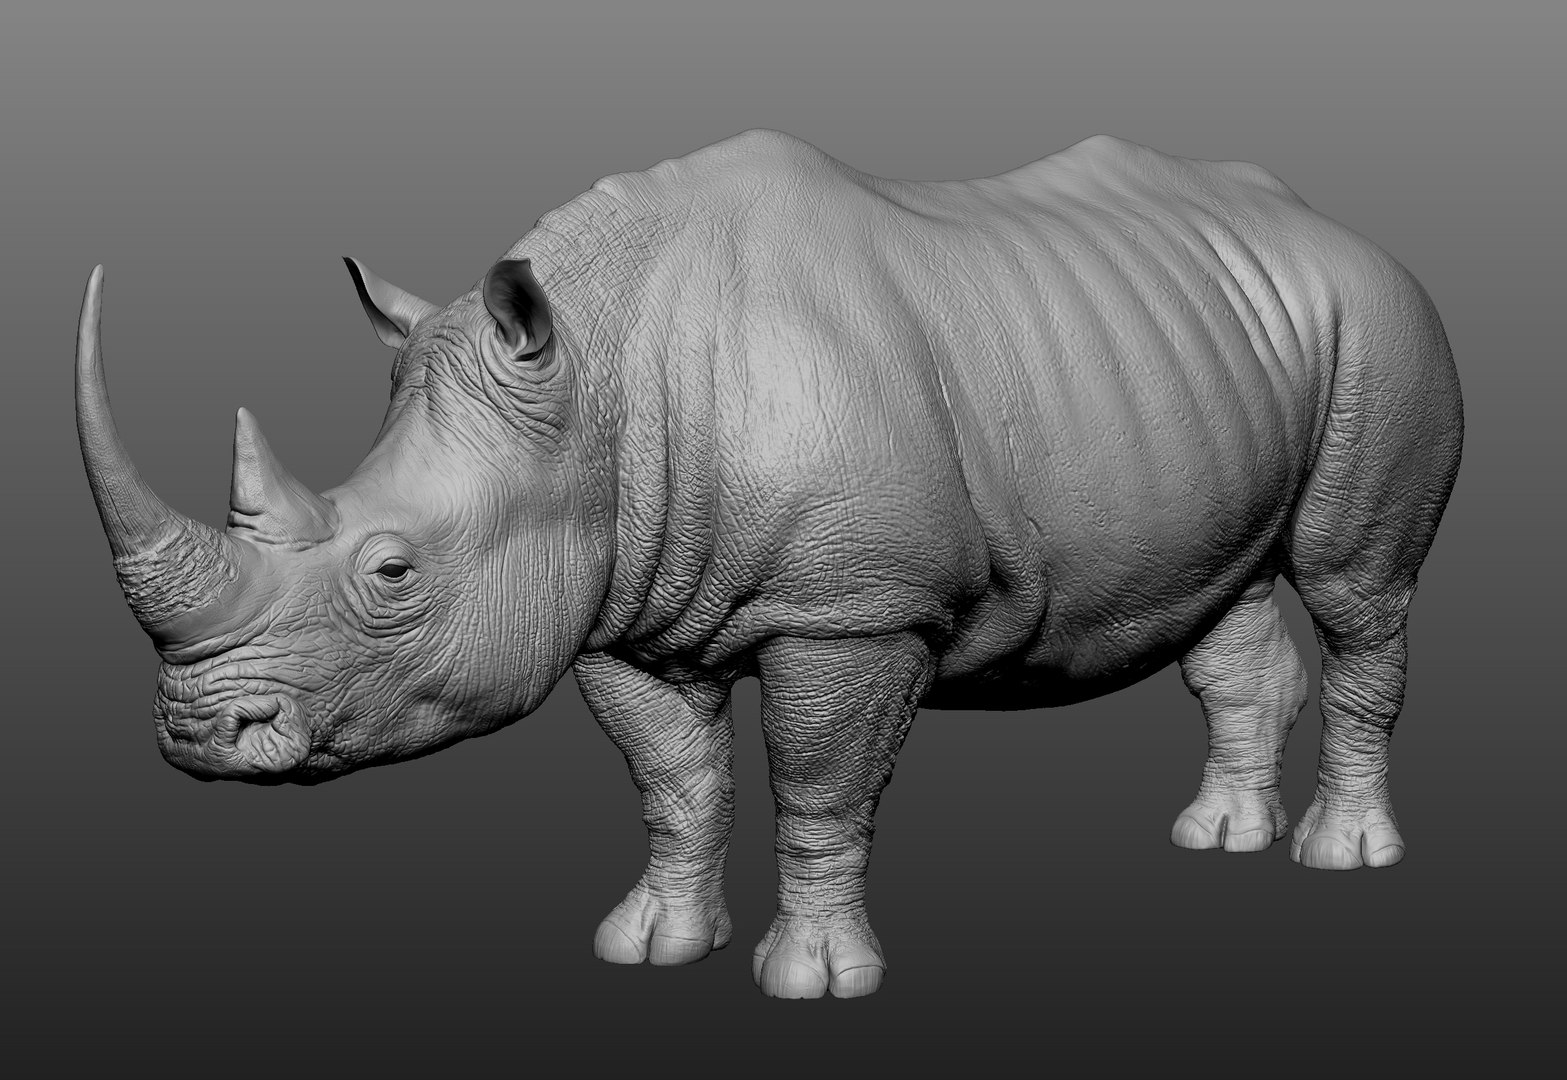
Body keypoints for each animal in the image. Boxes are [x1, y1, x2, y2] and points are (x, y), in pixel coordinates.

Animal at [78, 129, 1462, 998]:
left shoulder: (851, 607)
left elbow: (818, 781)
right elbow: (677, 781)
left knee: (1352, 586)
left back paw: (1341, 854)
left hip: (1379, 325)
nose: (196, 734)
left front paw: (813, 978)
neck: (600, 380)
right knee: (1224, 589)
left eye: (391, 573)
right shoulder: (620, 603)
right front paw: (653, 943)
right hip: (1203, 351)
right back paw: (1218, 837)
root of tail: (1335, 226)